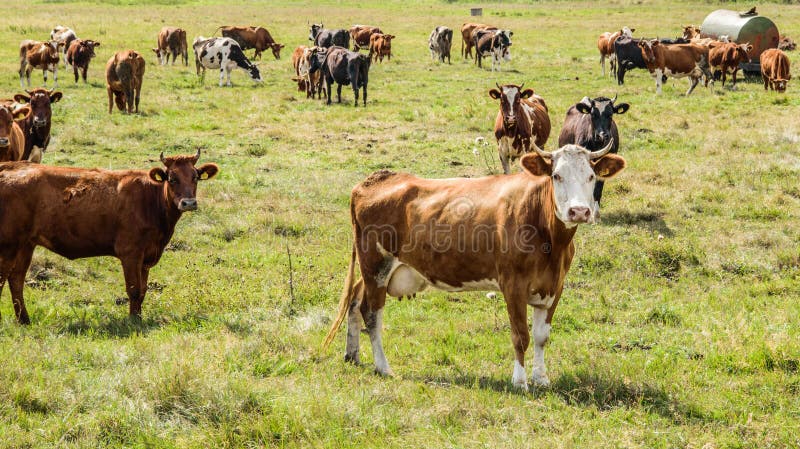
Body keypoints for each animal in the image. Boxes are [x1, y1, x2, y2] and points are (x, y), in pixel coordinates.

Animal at [0, 150, 219, 324]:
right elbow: (134, 289)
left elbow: (143, 290)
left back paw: (24, 320)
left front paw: (138, 317)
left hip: (25, 244)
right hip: (9, 245)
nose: (189, 203)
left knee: (16, 279)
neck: (150, 200)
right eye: (172, 179)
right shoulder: (130, 253)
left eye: (195, 177)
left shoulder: (146, 257)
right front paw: (133, 321)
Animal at [321, 139, 626, 390]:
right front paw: (520, 381)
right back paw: (383, 367)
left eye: (591, 176)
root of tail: (374, 179)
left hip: (375, 271)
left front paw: (541, 378)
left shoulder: (555, 285)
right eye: (556, 175)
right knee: (371, 313)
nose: (579, 211)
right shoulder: (512, 284)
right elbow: (521, 335)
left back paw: (352, 355)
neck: (550, 239)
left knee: (354, 301)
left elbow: (541, 336)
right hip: (376, 264)